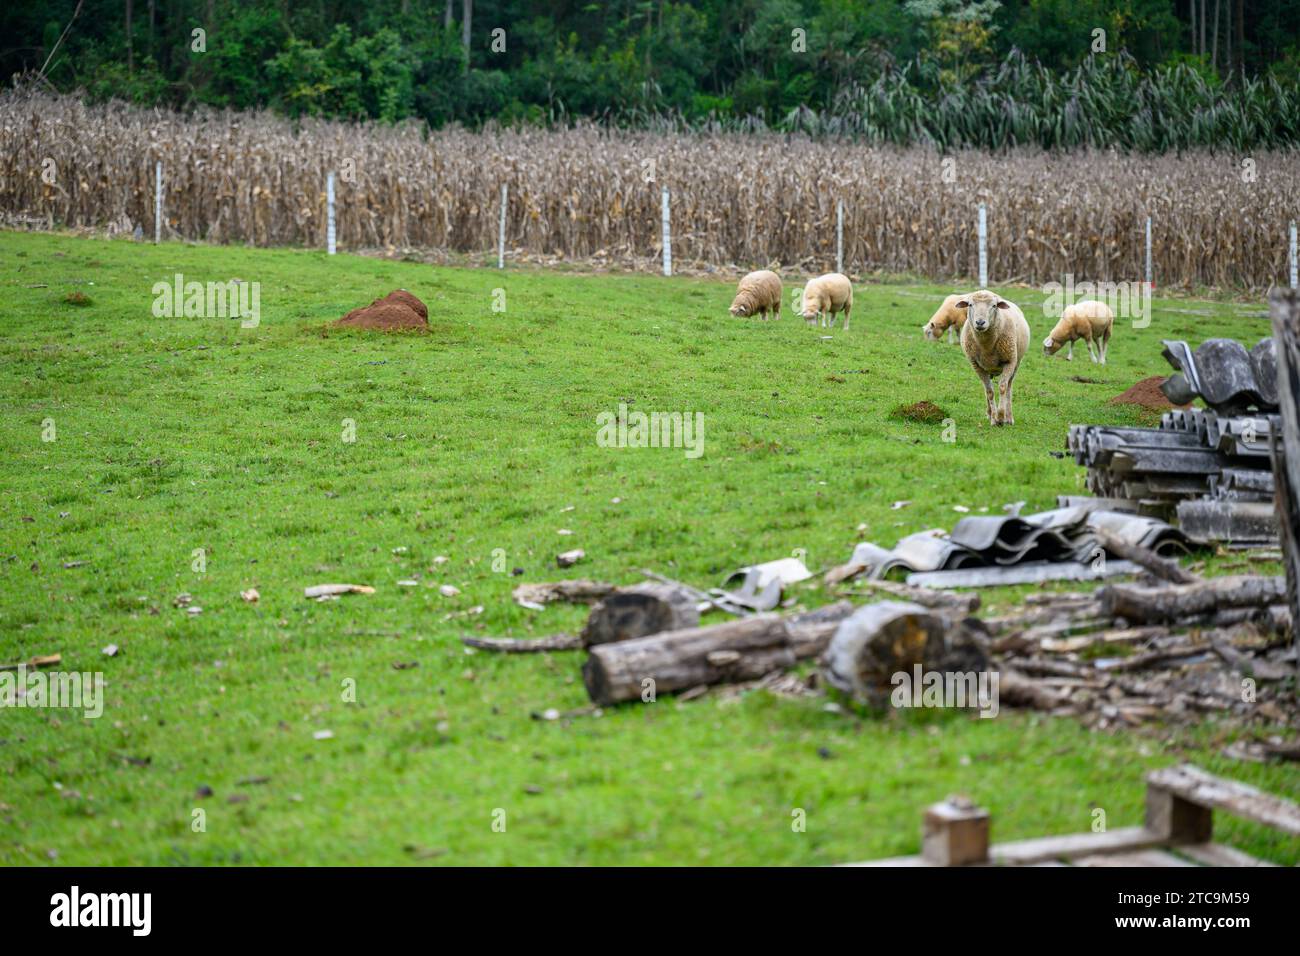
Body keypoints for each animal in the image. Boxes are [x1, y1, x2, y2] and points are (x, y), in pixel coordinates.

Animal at [958, 290, 1031, 426]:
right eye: (970, 304)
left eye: (994, 306)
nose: (980, 323)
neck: (987, 346)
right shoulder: (976, 365)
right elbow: (989, 392)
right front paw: (993, 418)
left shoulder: (1009, 361)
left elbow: (1003, 388)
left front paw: (1001, 417)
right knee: (987, 388)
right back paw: (989, 413)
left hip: (1016, 363)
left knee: (1009, 387)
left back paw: (1009, 417)